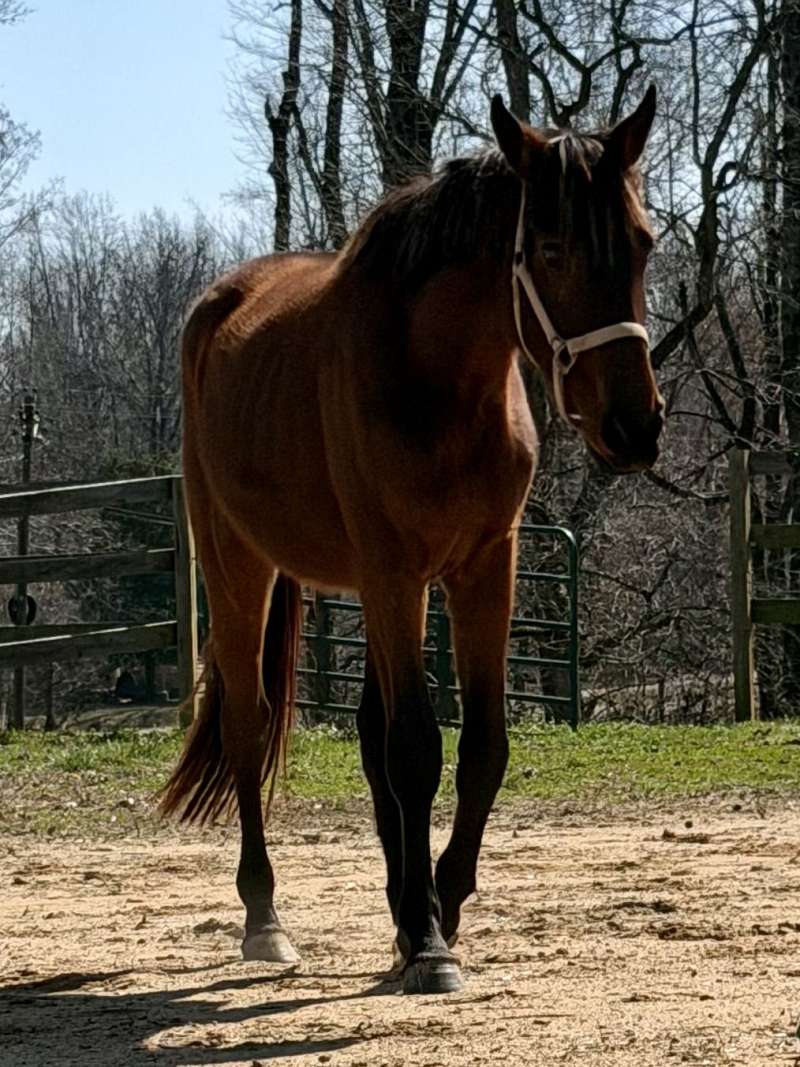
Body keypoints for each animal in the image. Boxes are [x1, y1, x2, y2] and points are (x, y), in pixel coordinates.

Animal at [160, 89, 664, 995]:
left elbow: (479, 747)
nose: (634, 425)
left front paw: (436, 909)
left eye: (642, 241)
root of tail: (220, 306)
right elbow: (416, 747)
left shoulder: (482, 567)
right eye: (551, 247)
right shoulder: (395, 570)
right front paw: (428, 942)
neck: (438, 378)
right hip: (239, 565)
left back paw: (397, 904)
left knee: (364, 735)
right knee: (251, 724)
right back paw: (265, 917)